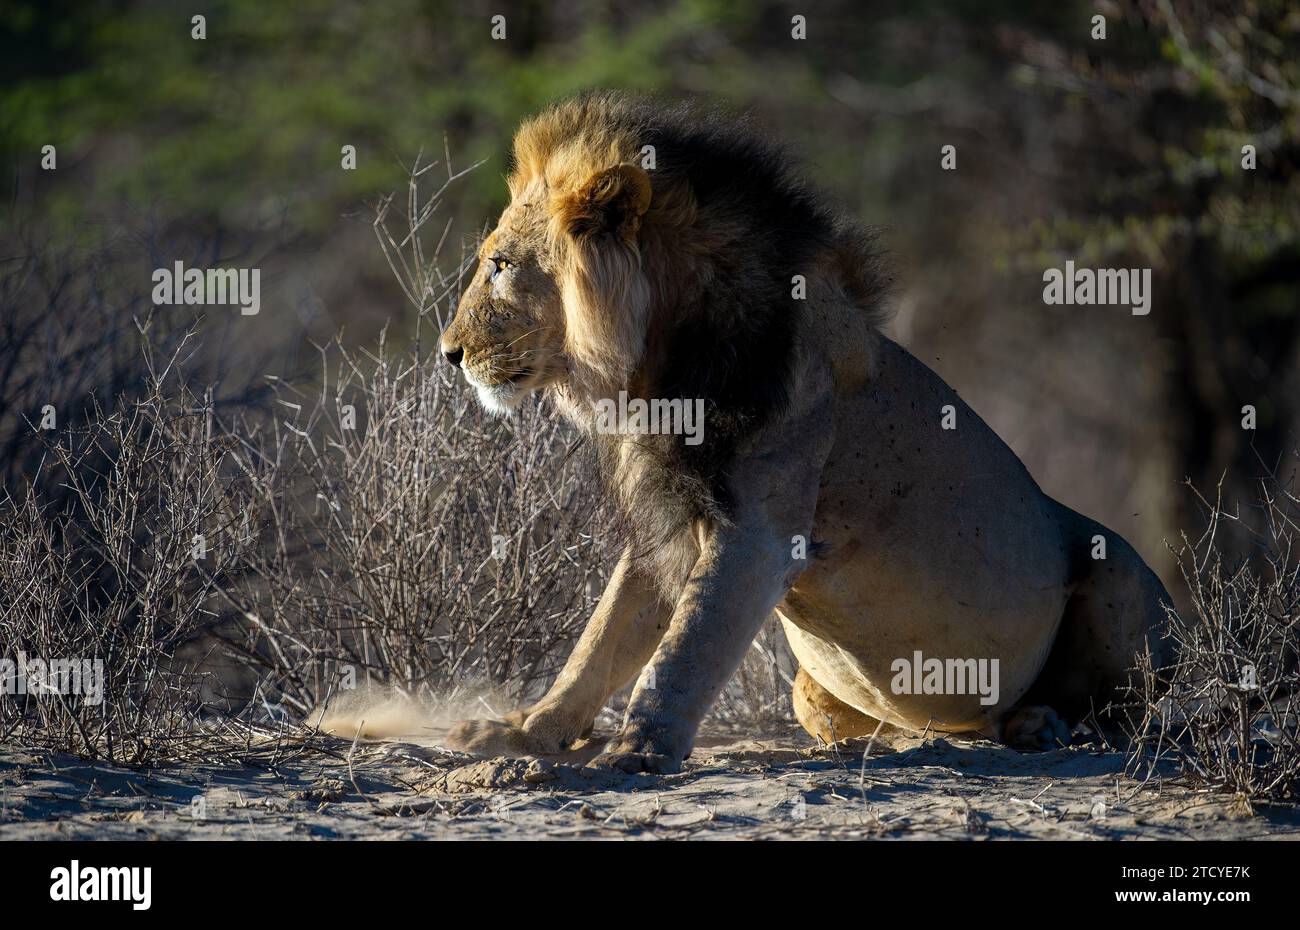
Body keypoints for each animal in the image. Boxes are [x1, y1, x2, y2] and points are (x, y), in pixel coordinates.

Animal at [439, 91, 1170, 773]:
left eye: (501, 265)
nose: (448, 352)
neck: (655, 370)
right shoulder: (668, 519)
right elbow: (602, 640)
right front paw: (523, 732)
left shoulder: (759, 534)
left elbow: (682, 652)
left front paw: (637, 751)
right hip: (813, 693)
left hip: (1119, 574)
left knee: (1130, 714)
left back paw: (1044, 724)